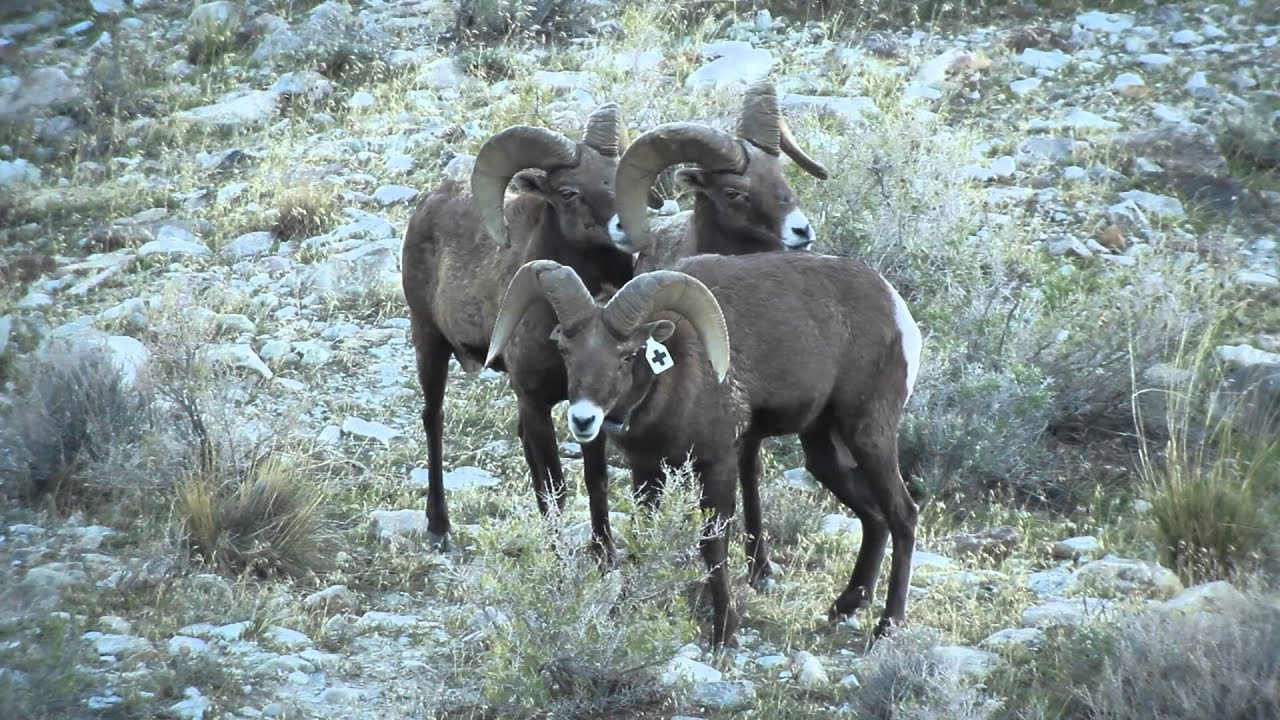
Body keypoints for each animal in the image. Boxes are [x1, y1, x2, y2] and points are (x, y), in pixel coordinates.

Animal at [401, 103, 662, 551]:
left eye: (618, 174)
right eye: (568, 192)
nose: (626, 226)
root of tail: (429, 203)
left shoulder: (589, 404)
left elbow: (595, 479)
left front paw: (604, 551)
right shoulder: (537, 401)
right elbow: (556, 484)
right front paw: (562, 556)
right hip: (429, 343)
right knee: (433, 420)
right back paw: (439, 527)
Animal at [486, 251, 923, 648]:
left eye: (627, 355)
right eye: (566, 352)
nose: (583, 420)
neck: (675, 378)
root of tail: (897, 310)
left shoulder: (718, 465)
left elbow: (712, 546)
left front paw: (723, 634)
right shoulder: (648, 472)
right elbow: (643, 538)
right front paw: (622, 609)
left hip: (869, 436)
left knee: (902, 514)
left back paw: (887, 627)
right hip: (822, 451)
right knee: (874, 518)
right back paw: (846, 605)